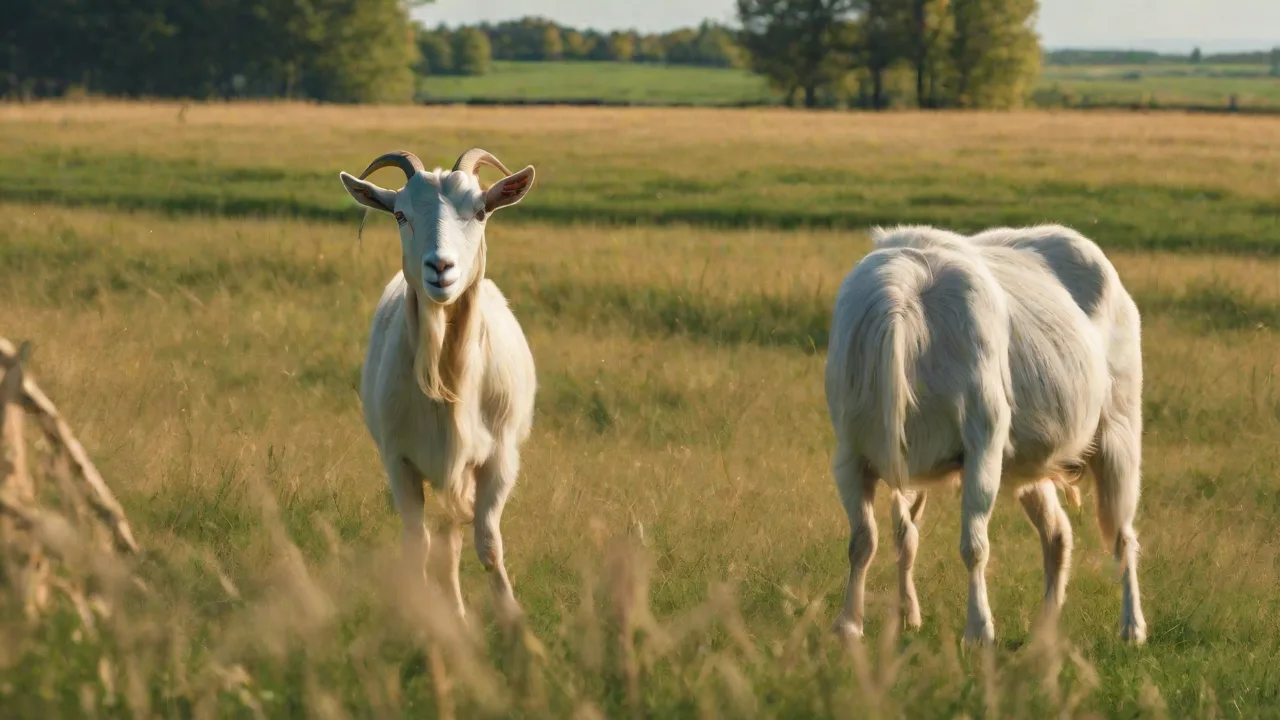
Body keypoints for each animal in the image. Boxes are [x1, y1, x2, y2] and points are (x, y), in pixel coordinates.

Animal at [338, 148, 537, 622]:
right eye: (400, 214)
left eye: (481, 211)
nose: (440, 268)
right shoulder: (399, 459)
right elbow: (419, 544)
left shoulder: (500, 459)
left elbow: (488, 543)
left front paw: (515, 623)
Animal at [824, 223, 1146, 645]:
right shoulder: (851, 457)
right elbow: (865, 540)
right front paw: (850, 624)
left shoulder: (983, 444)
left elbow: (973, 546)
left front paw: (978, 629)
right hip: (1028, 460)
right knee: (1058, 535)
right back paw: (1043, 631)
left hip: (1118, 436)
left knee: (1123, 537)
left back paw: (1132, 627)